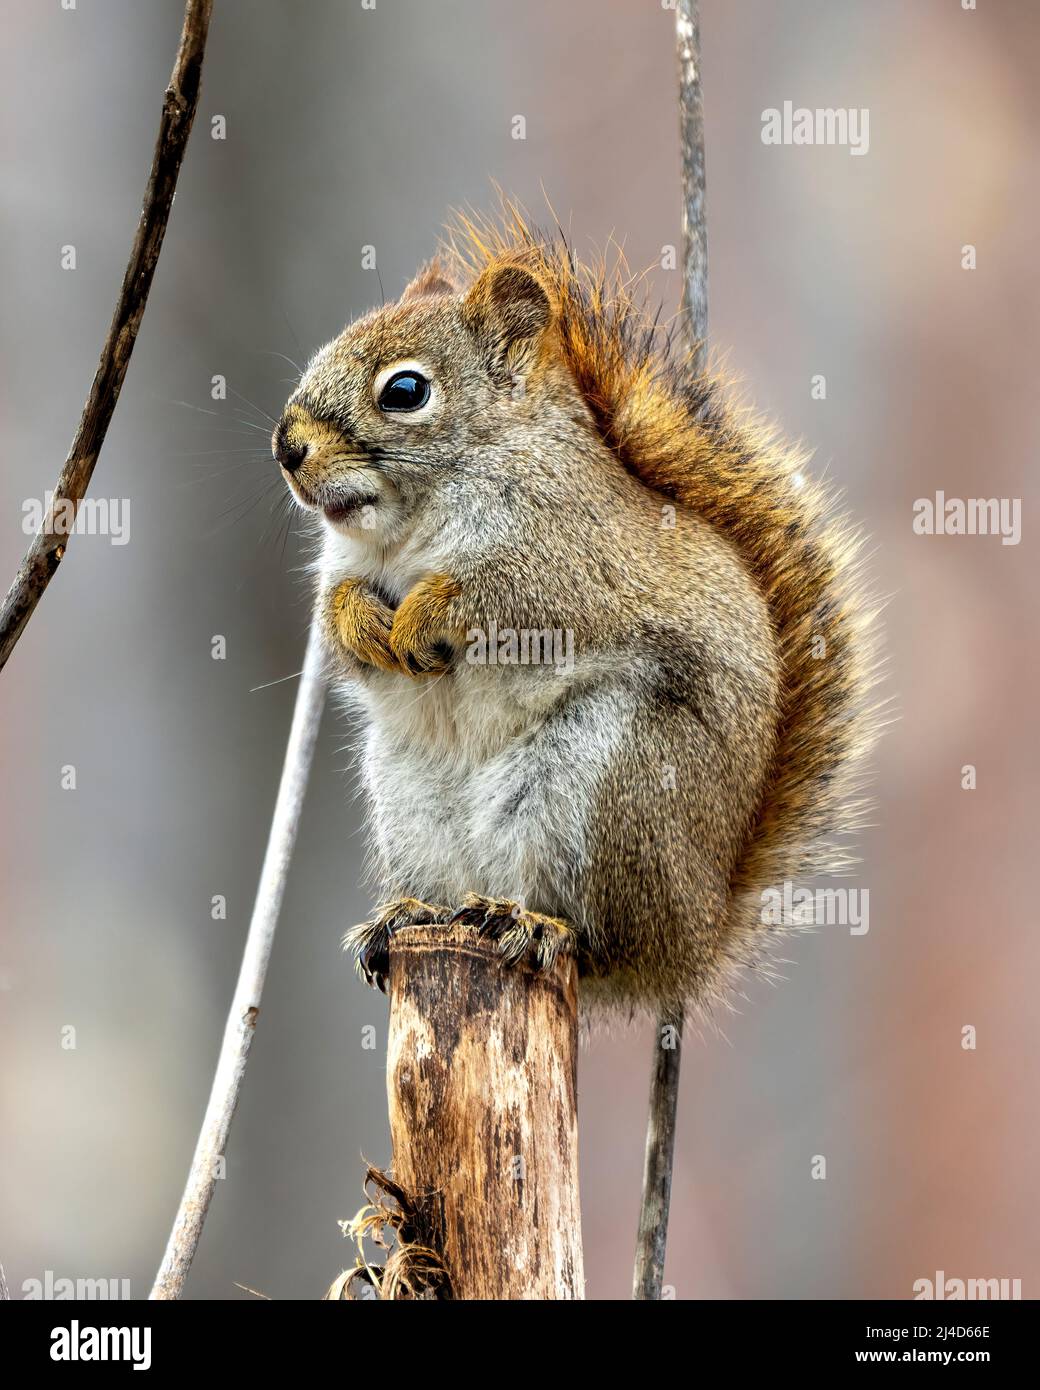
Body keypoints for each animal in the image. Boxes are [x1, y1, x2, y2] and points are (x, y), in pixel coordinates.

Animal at [273, 203, 880, 1019]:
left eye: (404, 391)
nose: (287, 446)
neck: (410, 527)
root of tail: (692, 943)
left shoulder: (571, 562)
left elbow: (503, 598)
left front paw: (422, 615)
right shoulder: (348, 565)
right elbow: (335, 613)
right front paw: (364, 624)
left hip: (605, 779)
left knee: (598, 942)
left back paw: (535, 924)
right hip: (410, 797)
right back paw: (409, 916)